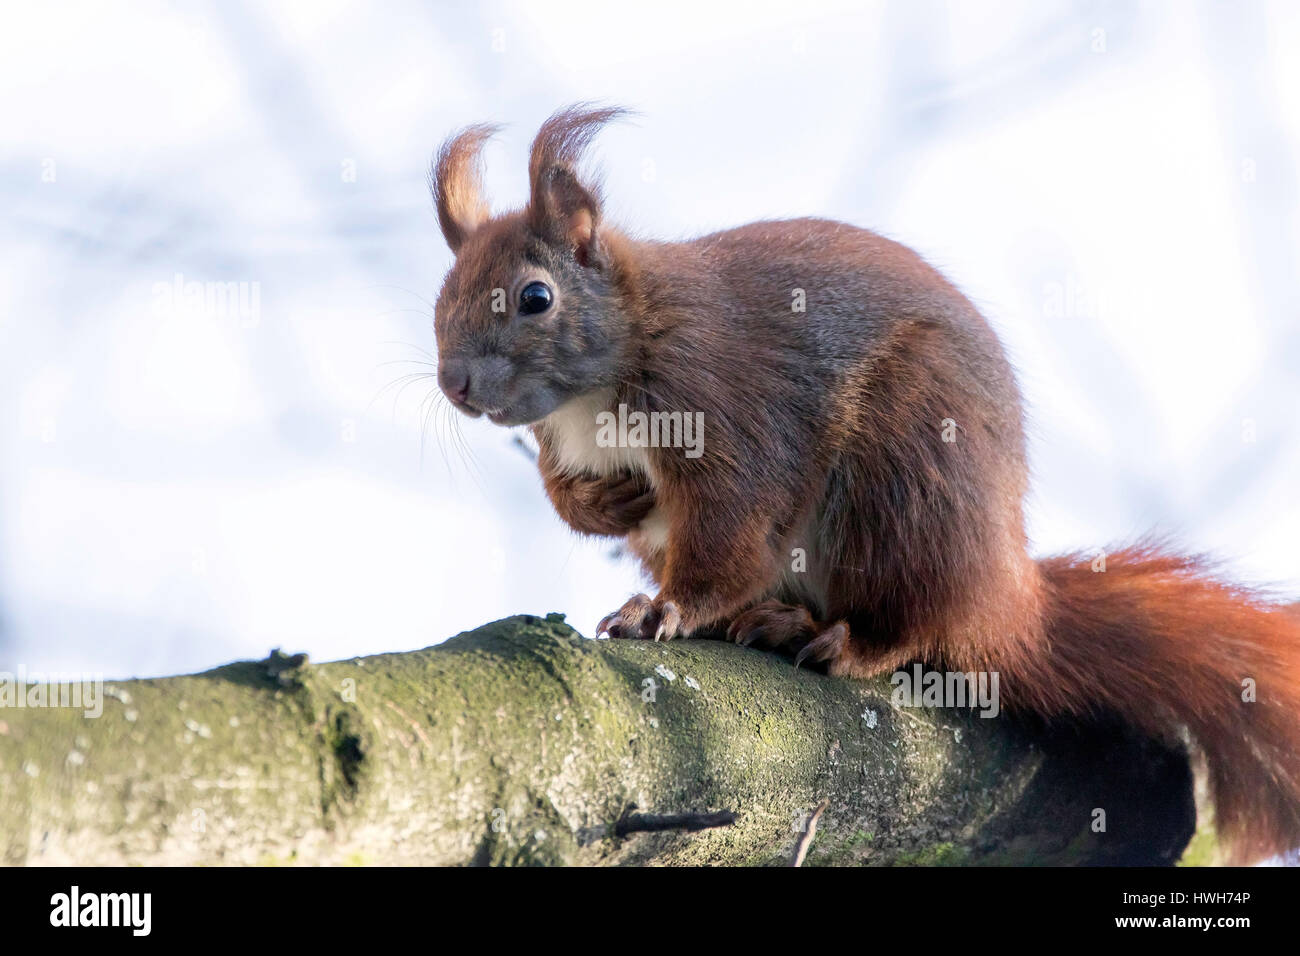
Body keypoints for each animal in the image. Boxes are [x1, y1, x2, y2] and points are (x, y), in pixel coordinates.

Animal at [430, 104, 1300, 864]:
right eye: (442, 297)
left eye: (536, 298)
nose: (455, 385)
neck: (599, 381)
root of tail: (1009, 597)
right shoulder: (558, 444)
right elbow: (569, 497)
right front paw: (603, 505)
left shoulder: (722, 406)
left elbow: (732, 528)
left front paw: (666, 609)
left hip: (908, 467)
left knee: (916, 623)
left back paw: (839, 638)